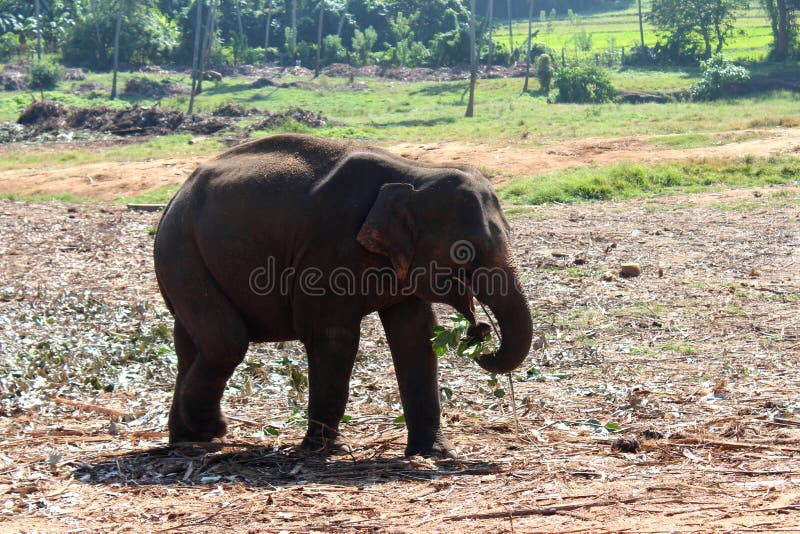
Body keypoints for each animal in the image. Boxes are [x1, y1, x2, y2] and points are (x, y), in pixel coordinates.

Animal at [153, 133, 533, 457]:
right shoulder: (328, 249)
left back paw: (187, 442)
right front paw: (326, 450)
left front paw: (435, 453)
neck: (416, 174)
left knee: (190, 345)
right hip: (180, 251)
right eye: (465, 251)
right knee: (226, 341)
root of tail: (175, 195)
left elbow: (415, 333)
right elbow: (334, 336)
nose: (481, 334)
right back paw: (213, 431)